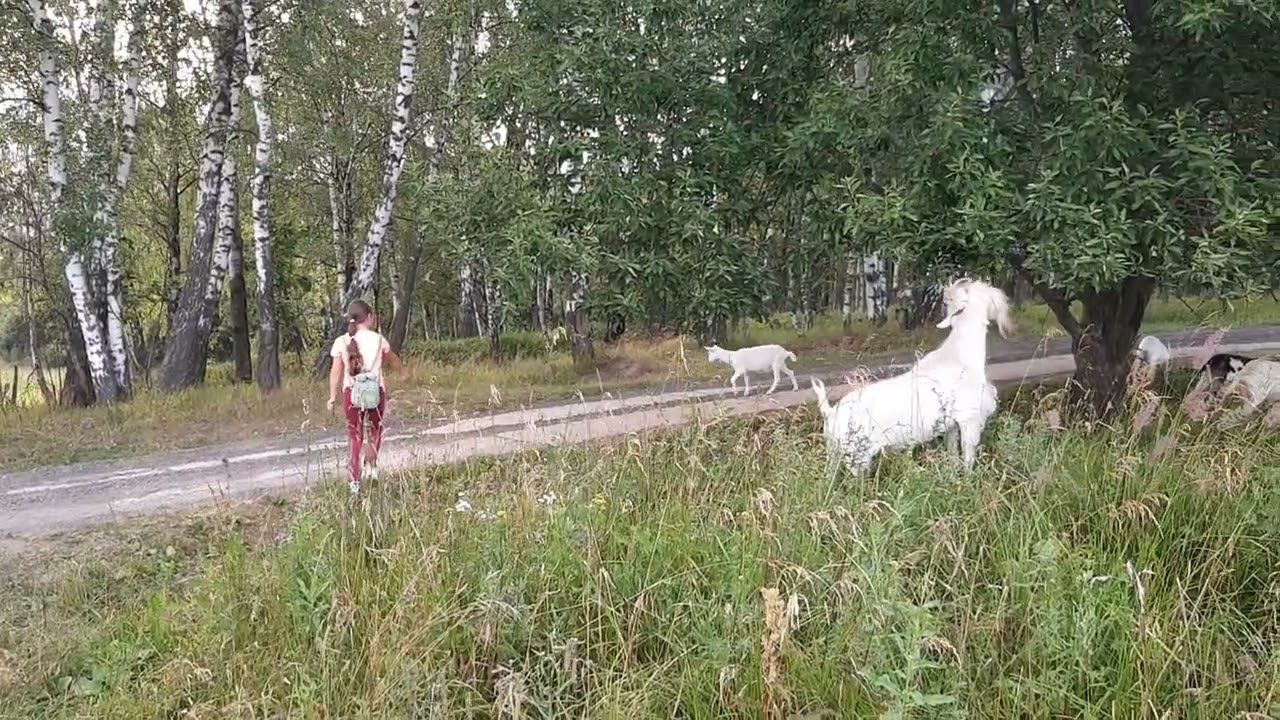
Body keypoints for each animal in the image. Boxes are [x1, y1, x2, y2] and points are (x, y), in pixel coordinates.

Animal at [812, 279, 1013, 473]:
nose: (1001, 296)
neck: (960, 356)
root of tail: (830, 412)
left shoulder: (951, 426)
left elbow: (953, 454)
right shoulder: (969, 421)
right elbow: (968, 459)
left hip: (834, 455)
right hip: (857, 458)